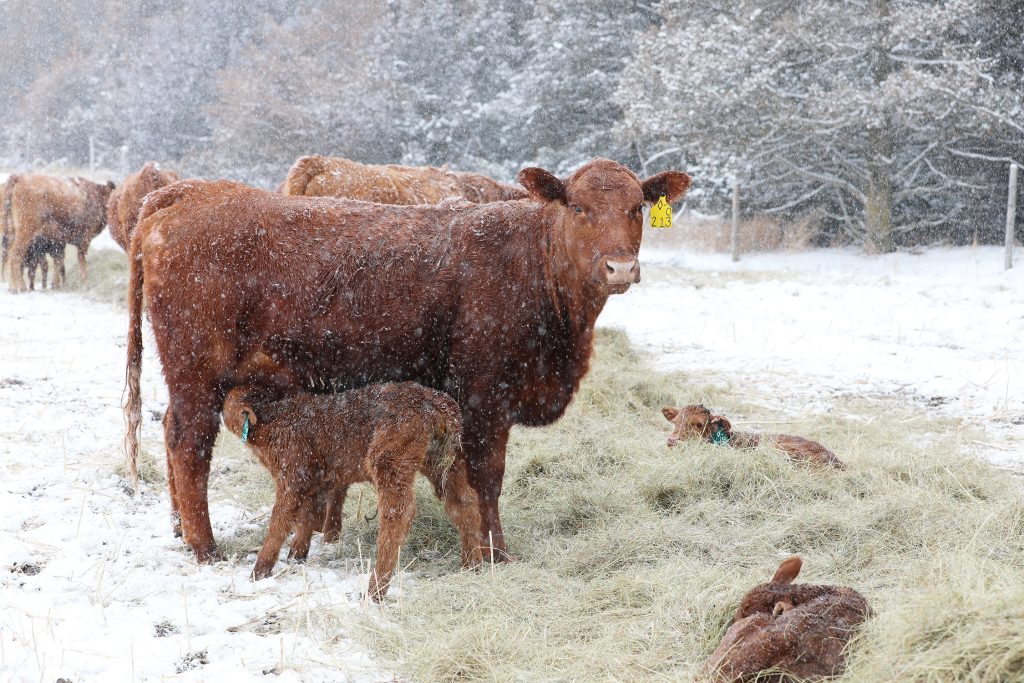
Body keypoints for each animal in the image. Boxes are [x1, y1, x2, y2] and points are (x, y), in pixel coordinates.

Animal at [124, 158, 692, 563]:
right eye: (576, 207)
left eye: (637, 208)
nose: (620, 267)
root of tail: (188, 191)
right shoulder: (485, 399)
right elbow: (486, 479)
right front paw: (496, 553)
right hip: (198, 372)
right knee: (188, 444)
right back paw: (205, 548)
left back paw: (181, 532)